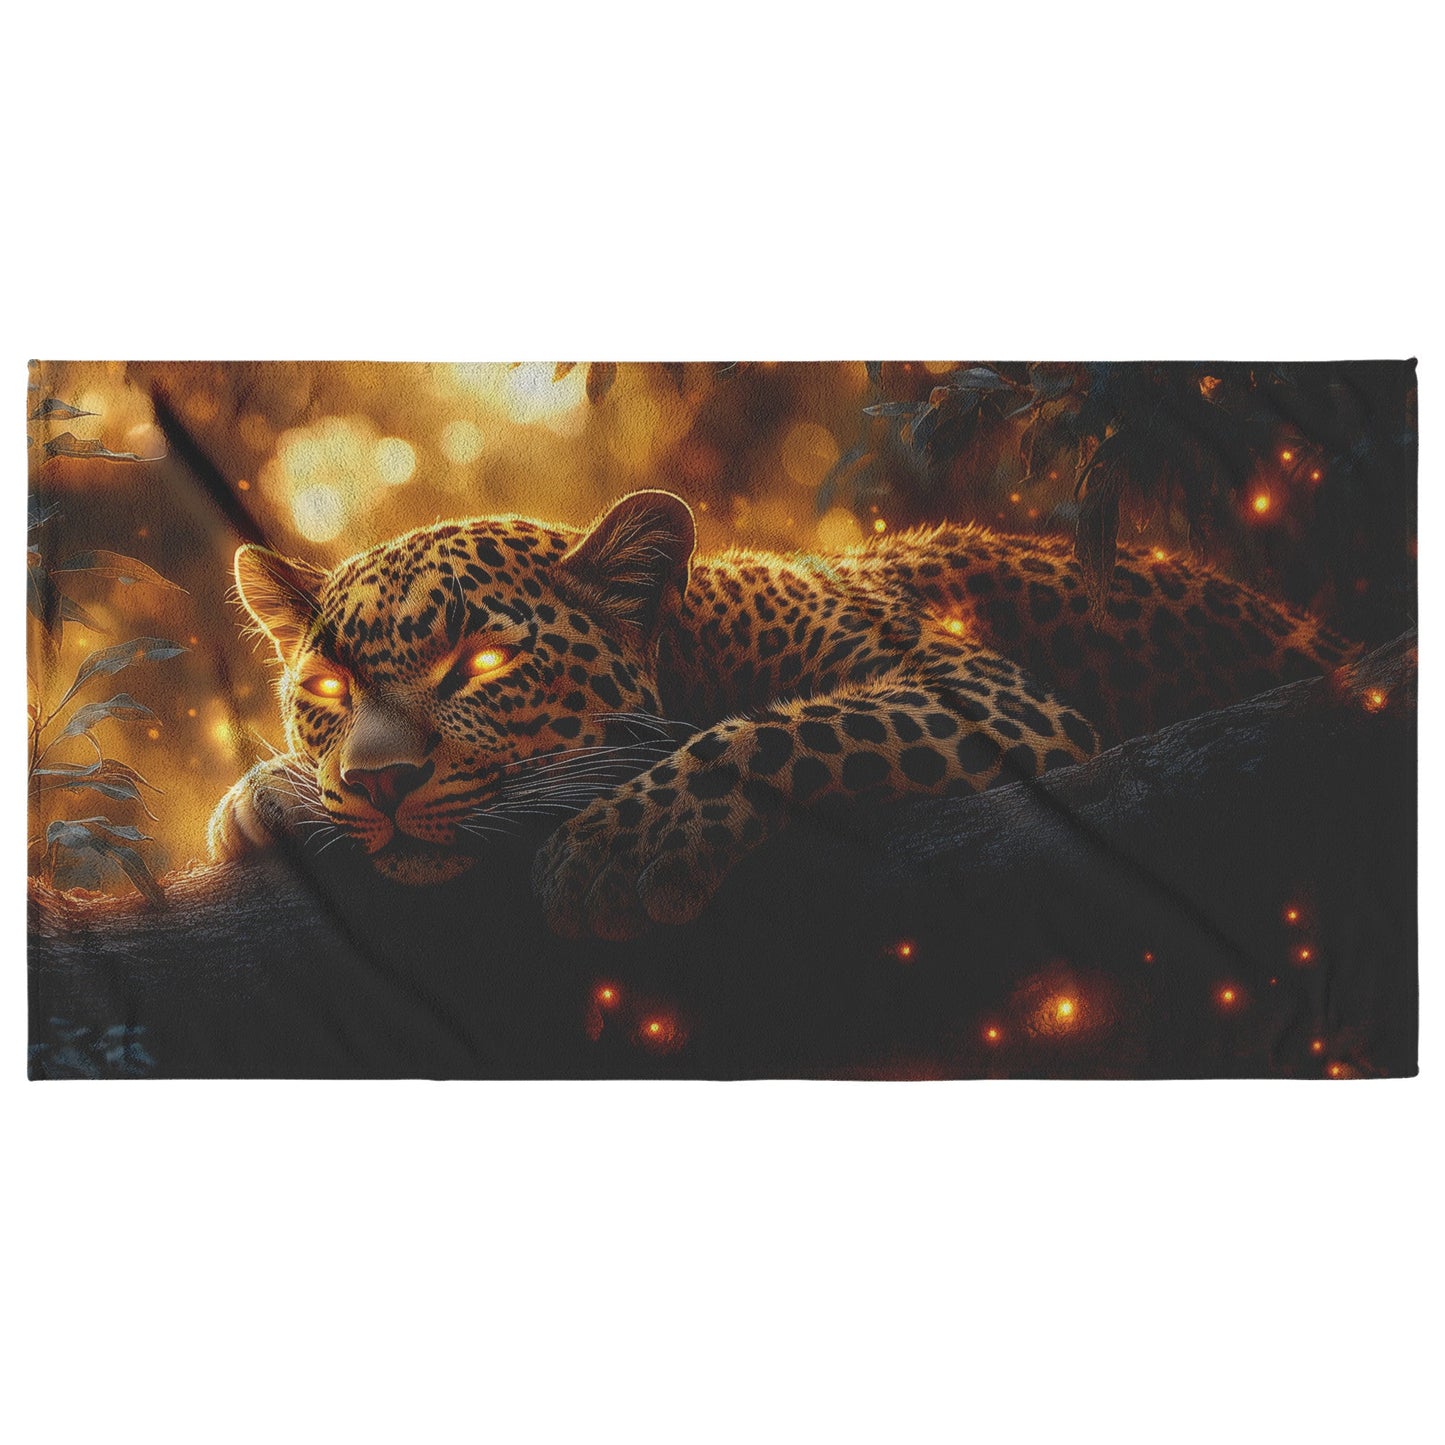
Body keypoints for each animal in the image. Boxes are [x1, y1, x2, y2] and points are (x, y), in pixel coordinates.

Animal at [208, 488, 1357, 939]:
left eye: (482, 663)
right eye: (326, 692)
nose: (379, 784)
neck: (705, 643)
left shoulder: (984, 693)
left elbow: (781, 725)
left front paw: (619, 842)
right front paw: (262, 800)